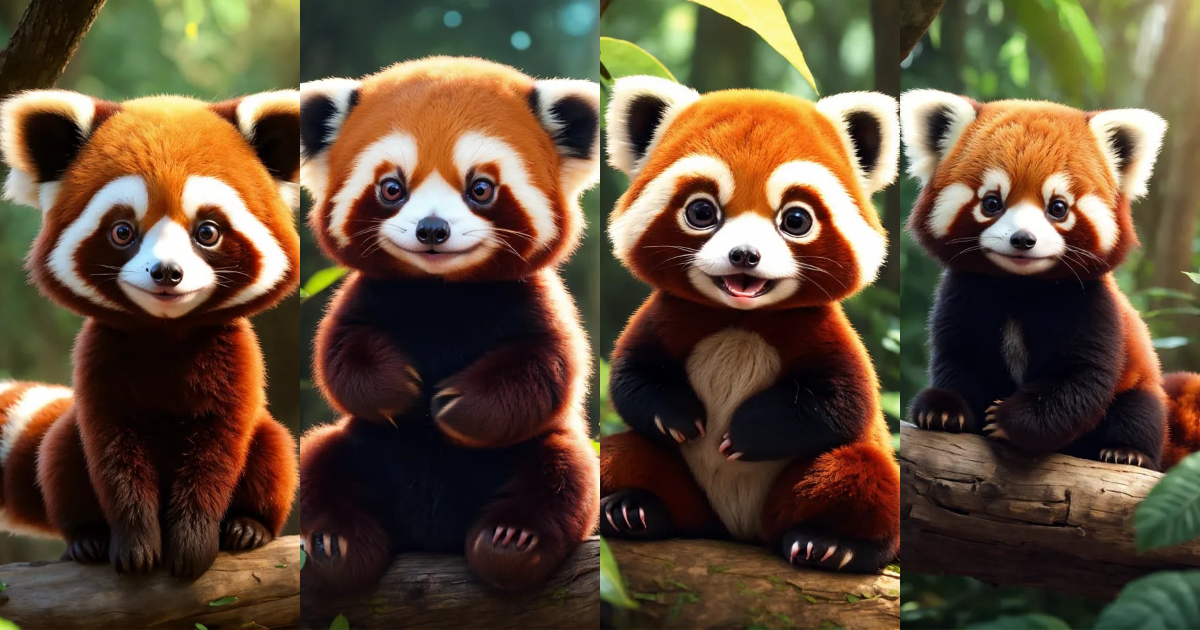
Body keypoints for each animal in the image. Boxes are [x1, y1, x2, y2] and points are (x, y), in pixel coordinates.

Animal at [0, 89, 302, 578]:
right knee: (60, 449)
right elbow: (113, 455)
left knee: (273, 445)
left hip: (270, 446)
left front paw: (194, 543)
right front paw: (136, 544)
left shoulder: (236, 357)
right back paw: (87, 538)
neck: (166, 332)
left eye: (207, 232)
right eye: (123, 231)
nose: (166, 272)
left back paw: (249, 526)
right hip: (65, 448)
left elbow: (219, 450)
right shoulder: (100, 357)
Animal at [297, 57, 601, 594]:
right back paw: (338, 542)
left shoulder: (536, 300)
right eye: (391, 188)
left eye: (480, 188)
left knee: (566, 470)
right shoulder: (368, 295)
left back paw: (512, 541)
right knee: (321, 456)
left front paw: (453, 406)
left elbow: (550, 366)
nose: (432, 230)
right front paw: (398, 387)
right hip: (361, 452)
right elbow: (339, 355)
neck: (442, 292)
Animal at [598, 76, 901, 574]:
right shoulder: (666, 315)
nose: (744, 256)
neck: (739, 316)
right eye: (702, 212)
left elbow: (844, 402)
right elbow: (630, 378)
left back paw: (833, 543)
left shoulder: (823, 329)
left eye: (795, 219)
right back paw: (634, 510)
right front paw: (677, 415)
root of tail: (737, 529)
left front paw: (746, 432)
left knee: (860, 473)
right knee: (623, 453)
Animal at [902, 89, 1200, 471]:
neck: (1020, 285)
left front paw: (1009, 422)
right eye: (991, 203)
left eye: (1058, 207)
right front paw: (943, 409)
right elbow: (958, 358)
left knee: (1140, 411)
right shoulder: (962, 294)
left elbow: (1080, 382)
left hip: (1145, 384)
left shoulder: (1092, 305)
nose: (1023, 239)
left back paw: (1126, 451)